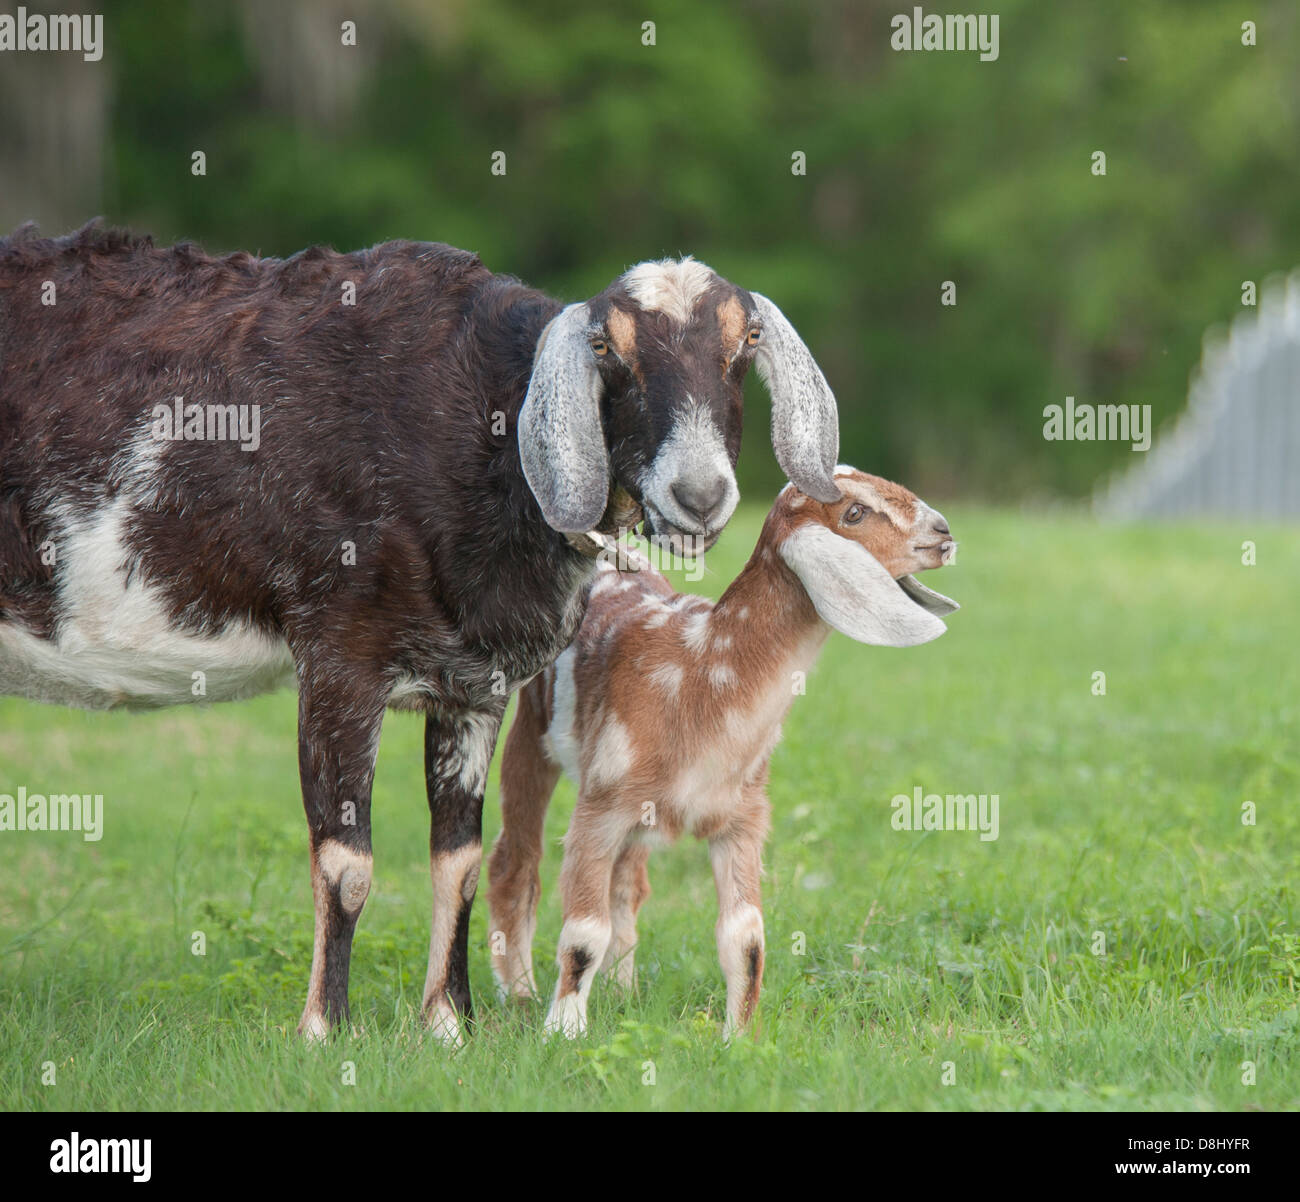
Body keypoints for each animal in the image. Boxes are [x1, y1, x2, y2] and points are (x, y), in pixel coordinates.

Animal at [0, 222, 843, 1044]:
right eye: (608, 348)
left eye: (745, 341)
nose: (699, 496)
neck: (474, 425)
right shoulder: (340, 656)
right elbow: (347, 864)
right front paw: (325, 1029)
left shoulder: (472, 682)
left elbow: (459, 859)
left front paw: (448, 1023)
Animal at [487, 466, 959, 1038]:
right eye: (854, 512)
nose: (943, 531)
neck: (699, 675)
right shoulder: (599, 809)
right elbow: (582, 934)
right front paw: (563, 1033)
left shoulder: (742, 817)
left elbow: (746, 939)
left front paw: (740, 1037)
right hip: (532, 731)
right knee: (514, 863)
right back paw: (519, 997)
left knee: (628, 883)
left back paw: (624, 992)